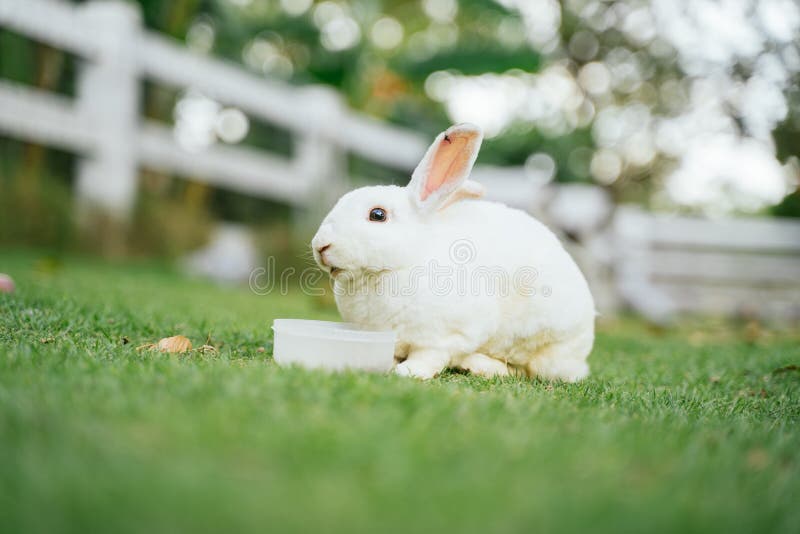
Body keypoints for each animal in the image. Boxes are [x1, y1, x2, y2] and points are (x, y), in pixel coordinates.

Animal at [311, 123, 595, 381]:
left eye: (377, 215)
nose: (320, 245)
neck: (403, 262)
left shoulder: (448, 336)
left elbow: (430, 355)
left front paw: (408, 372)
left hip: (546, 351)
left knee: (524, 371)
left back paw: (478, 365)